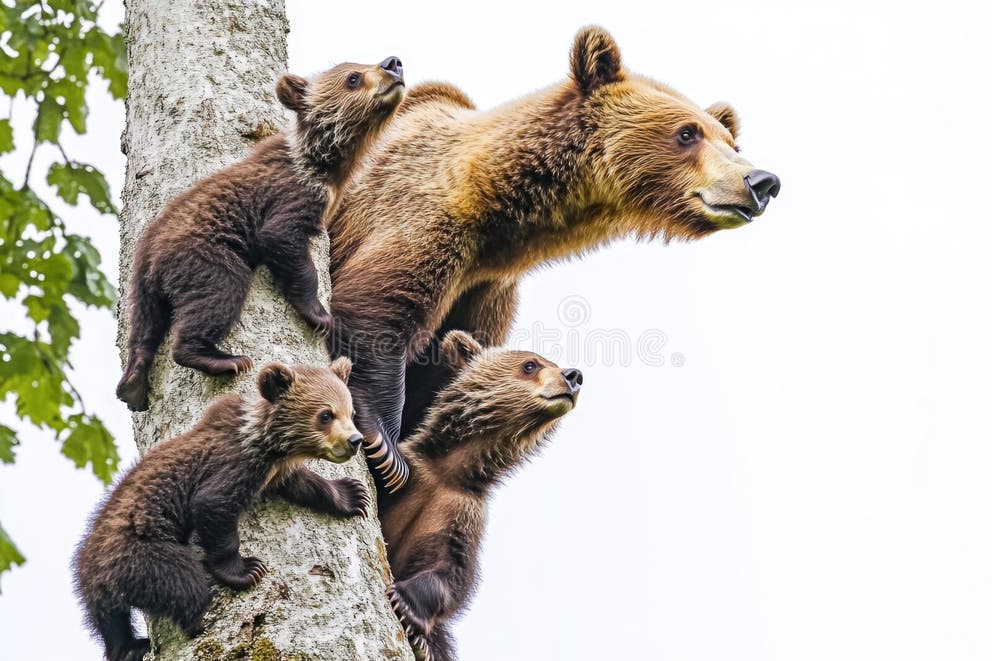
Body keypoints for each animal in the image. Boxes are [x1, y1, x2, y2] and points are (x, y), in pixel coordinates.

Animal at [74, 358, 370, 661]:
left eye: (351, 412)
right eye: (326, 414)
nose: (354, 440)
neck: (264, 440)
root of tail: (92, 571)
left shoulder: (272, 470)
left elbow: (301, 483)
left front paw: (352, 494)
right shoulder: (233, 463)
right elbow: (212, 505)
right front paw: (246, 569)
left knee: (112, 623)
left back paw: (131, 647)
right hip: (139, 553)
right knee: (182, 578)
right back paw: (195, 620)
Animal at [115, 56, 406, 412]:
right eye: (353, 77)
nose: (393, 63)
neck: (329, 167)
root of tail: (150, 254)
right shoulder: (294, 194)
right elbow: (282, 240)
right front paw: (321, 315)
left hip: (142, 282)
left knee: (143, 327)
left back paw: (133, 385)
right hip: (204, 254)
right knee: (219, 293)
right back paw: (222, 358)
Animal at [326, 26, 781, 493]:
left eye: (732, 142)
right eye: (688, 133)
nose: (762, 181)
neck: (503, 225)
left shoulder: (486, 292)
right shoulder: (423, 214)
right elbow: (381, 302)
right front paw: (386, 445)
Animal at [377, 331, 582, 661]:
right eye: (531, 364)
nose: (574, 376)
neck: (450, 470)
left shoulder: (459, 512)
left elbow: (452, 571)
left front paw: (409, 609)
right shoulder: (411, 477)